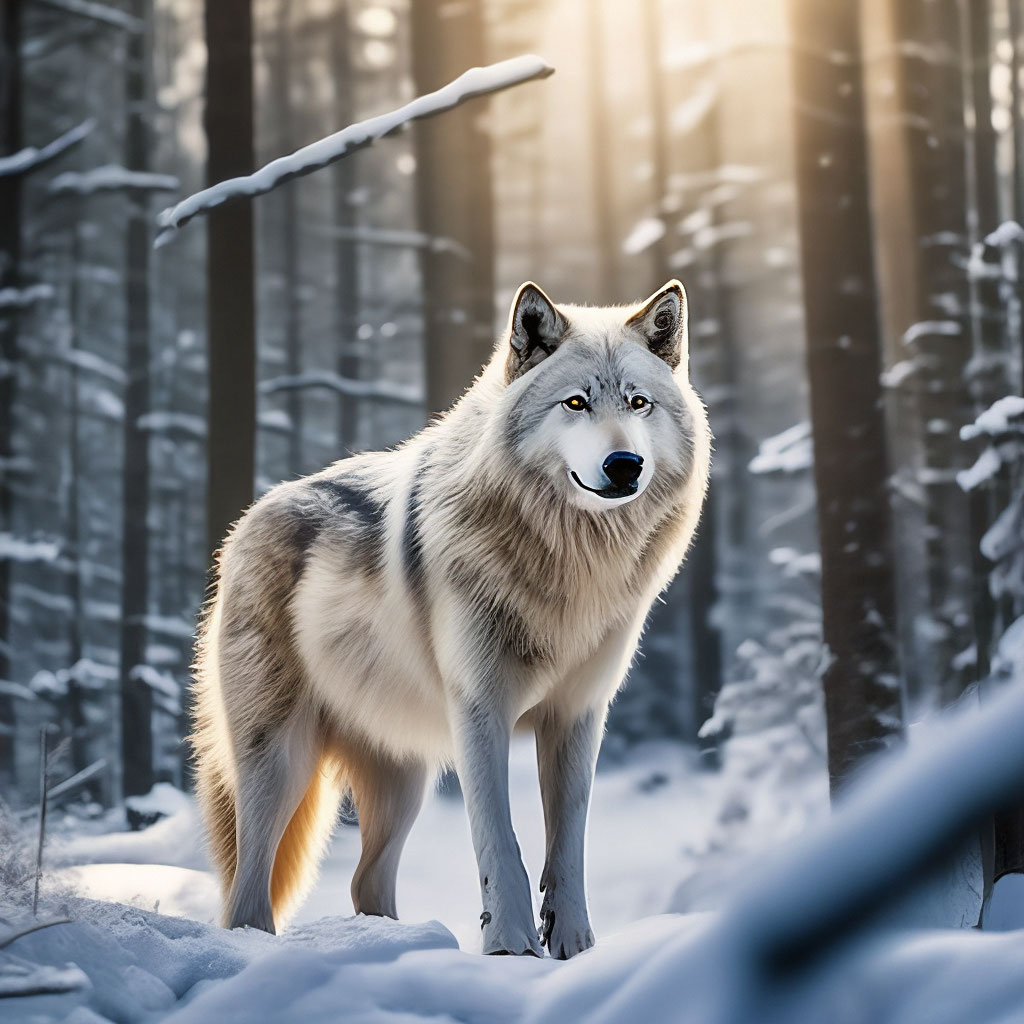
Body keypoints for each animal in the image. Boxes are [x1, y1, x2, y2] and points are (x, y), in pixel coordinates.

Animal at [190, 278, 711, 959]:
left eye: (638, 402)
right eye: (575, 402)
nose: (625, 464)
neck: (567, 564)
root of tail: (247, 520)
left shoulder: (578, 716)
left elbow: (567, 846)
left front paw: (573, 947)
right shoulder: (479, 710)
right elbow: (500, 842)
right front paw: (512, 948)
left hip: (402, 785)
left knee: (363, 883)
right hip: (281, 763)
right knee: (248, 893)